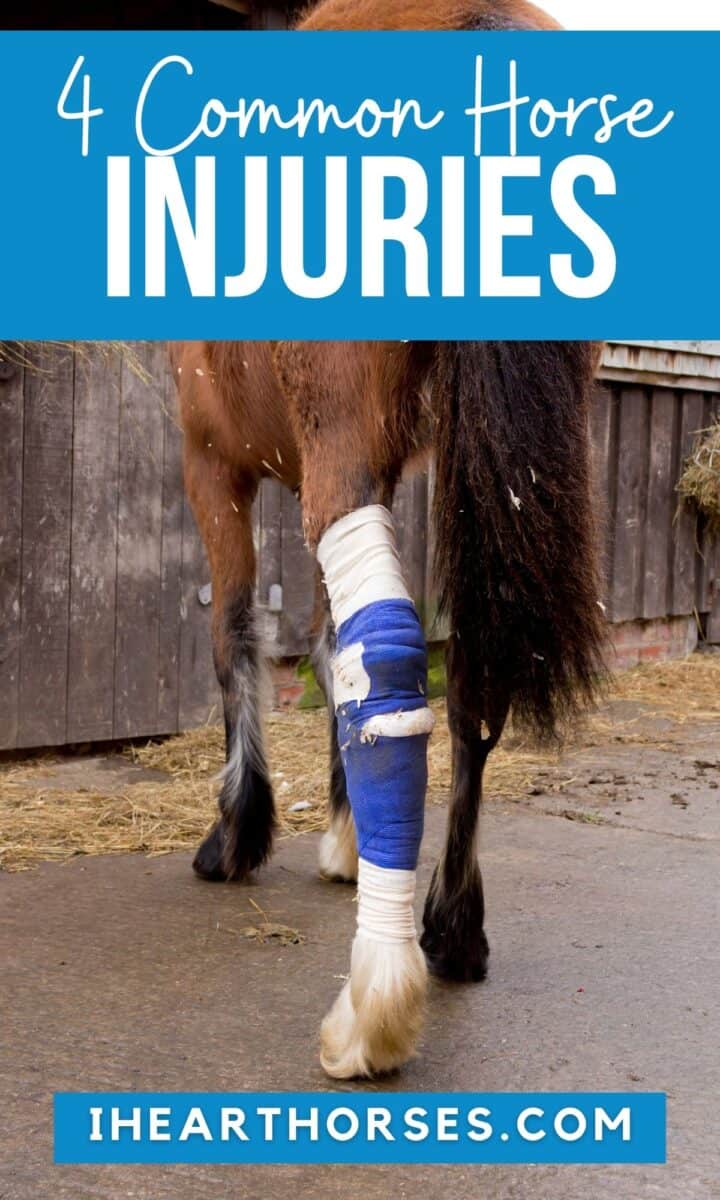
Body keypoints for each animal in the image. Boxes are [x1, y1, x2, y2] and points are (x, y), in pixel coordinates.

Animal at [172, 0, 606, 1080]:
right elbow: (327, 648)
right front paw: (341, 836)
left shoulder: (216, 468)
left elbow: (237, 634)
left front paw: (239, 829)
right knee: (470, 677)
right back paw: (449, 927)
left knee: (397, 650)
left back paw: (376, 999)